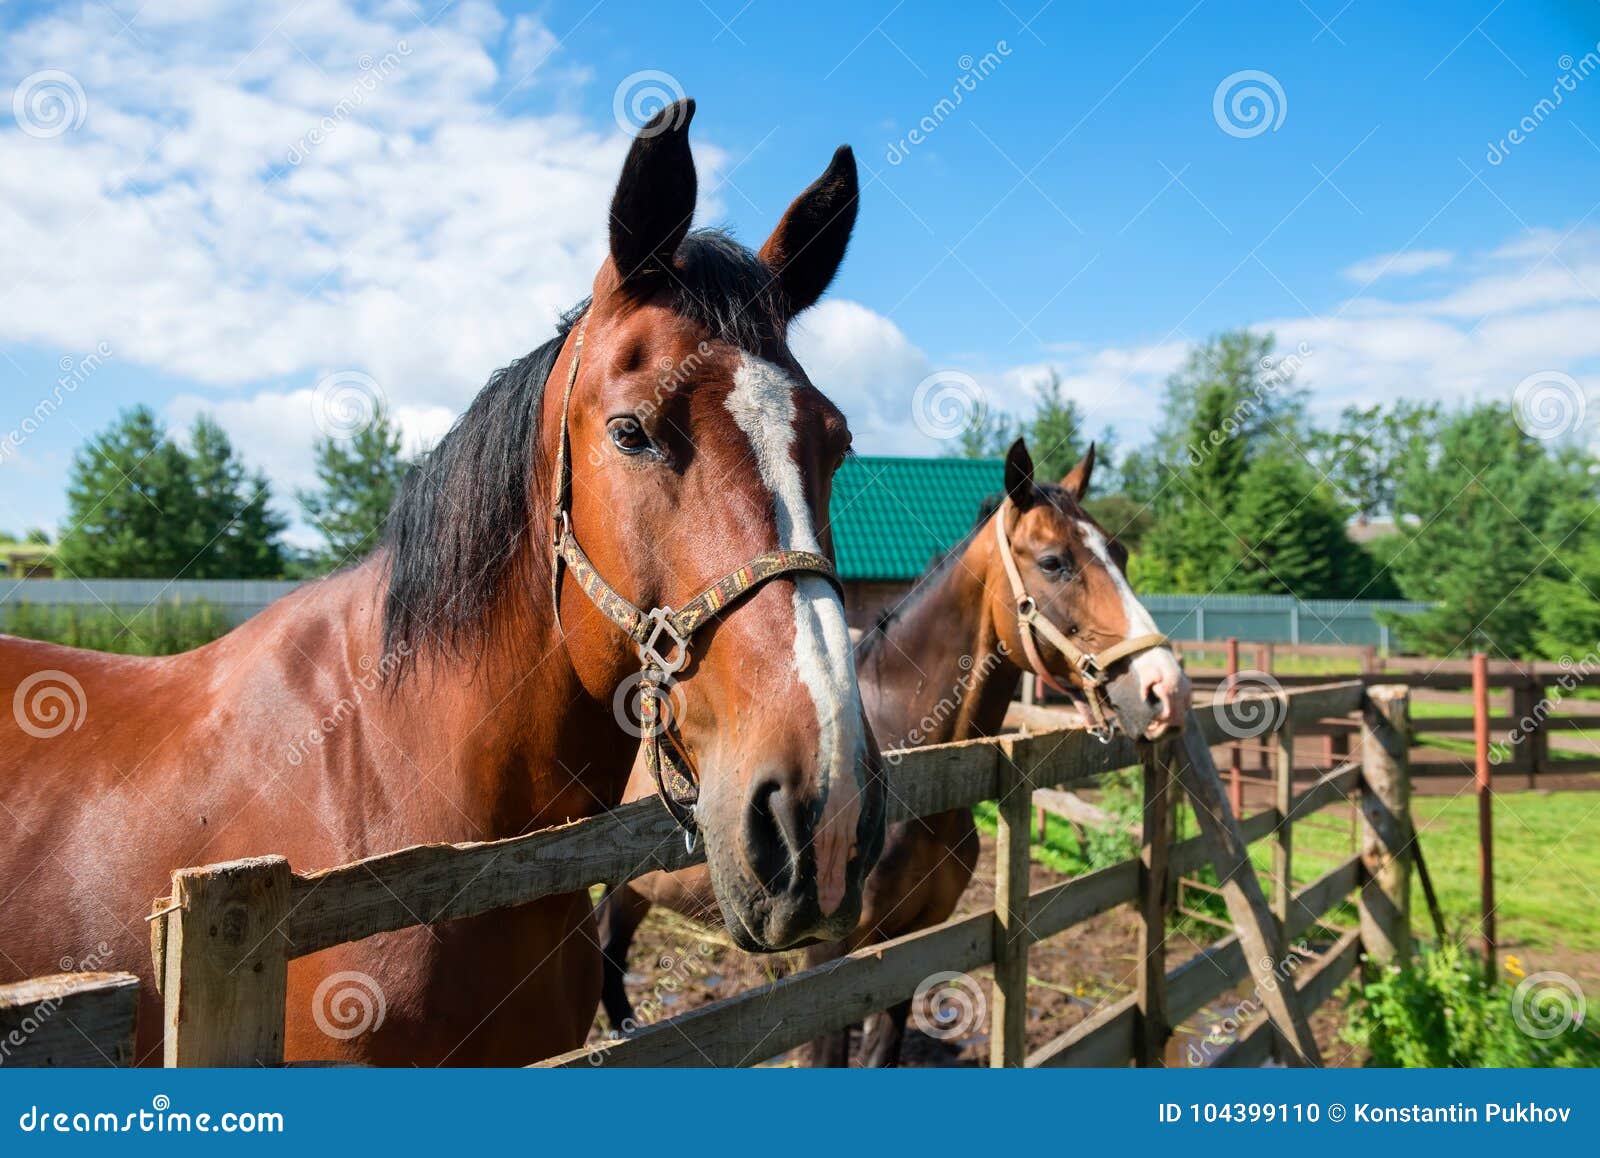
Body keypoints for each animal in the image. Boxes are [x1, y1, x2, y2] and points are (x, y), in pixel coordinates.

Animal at [594, 437, 1191, 1064]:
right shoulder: (828, 960)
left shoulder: (911, 944)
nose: (1166, 688)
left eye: (1121, 554)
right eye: (1054, 562)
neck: (925, 771)